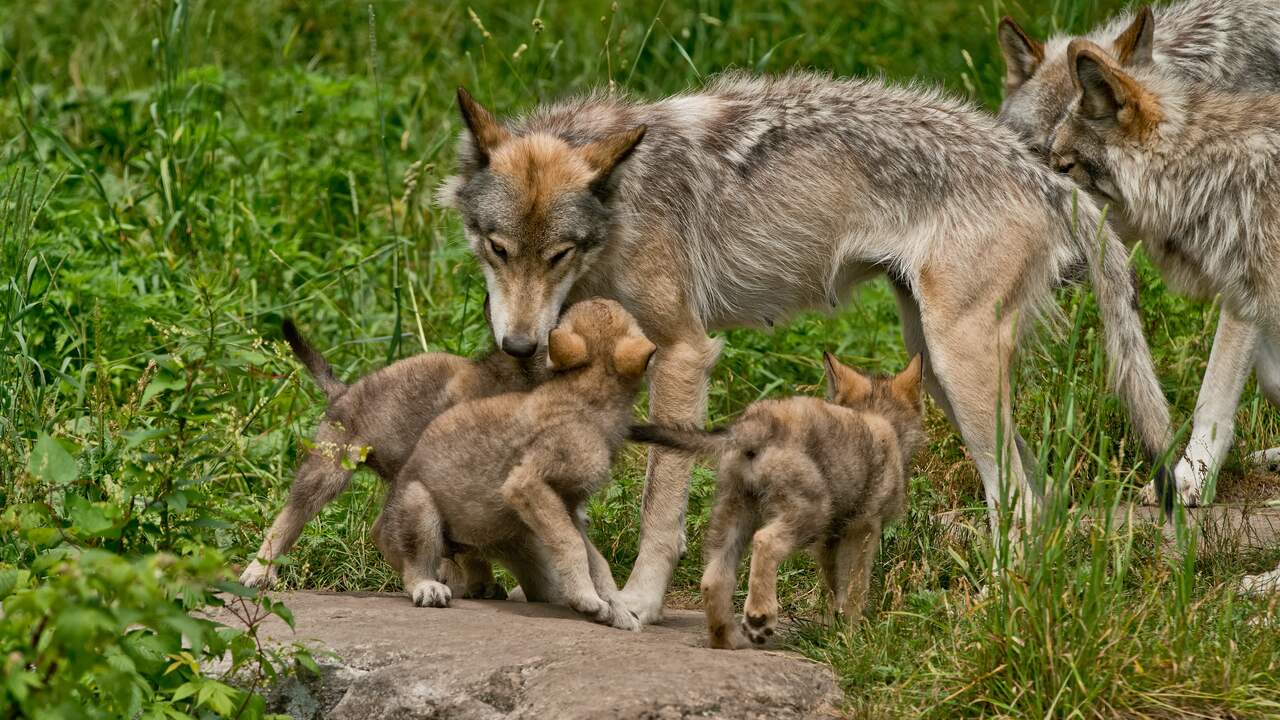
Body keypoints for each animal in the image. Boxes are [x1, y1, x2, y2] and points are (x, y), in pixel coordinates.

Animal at [381, 298, 655, 628]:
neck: (589, 395)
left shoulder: (567, 505)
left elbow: (597, 561)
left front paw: (618, 610)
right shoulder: (526, 484)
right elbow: (573, 545)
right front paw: (587, 600)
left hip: (519, 542)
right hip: (420, 507)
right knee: (415, 569)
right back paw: (428, 588)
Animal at [631, 353, 925, 649]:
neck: (879, 418)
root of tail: (757, 424)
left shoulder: (831, 538)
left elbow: (835, 587)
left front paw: (834, 629)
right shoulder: (863, 528)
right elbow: (854, 588)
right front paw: (852, 638)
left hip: (735, 513)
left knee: (714, 579)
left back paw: (728, 639)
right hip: (810, 514)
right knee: (765, 542)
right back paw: (760, 616)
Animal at [1048, 37, 1280, 507]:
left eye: (1065, 168)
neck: (1207, 177)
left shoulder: (1247, 290)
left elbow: (1211, 395)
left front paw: (1189, 478)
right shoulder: (1247, 297)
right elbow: (1271, 378)